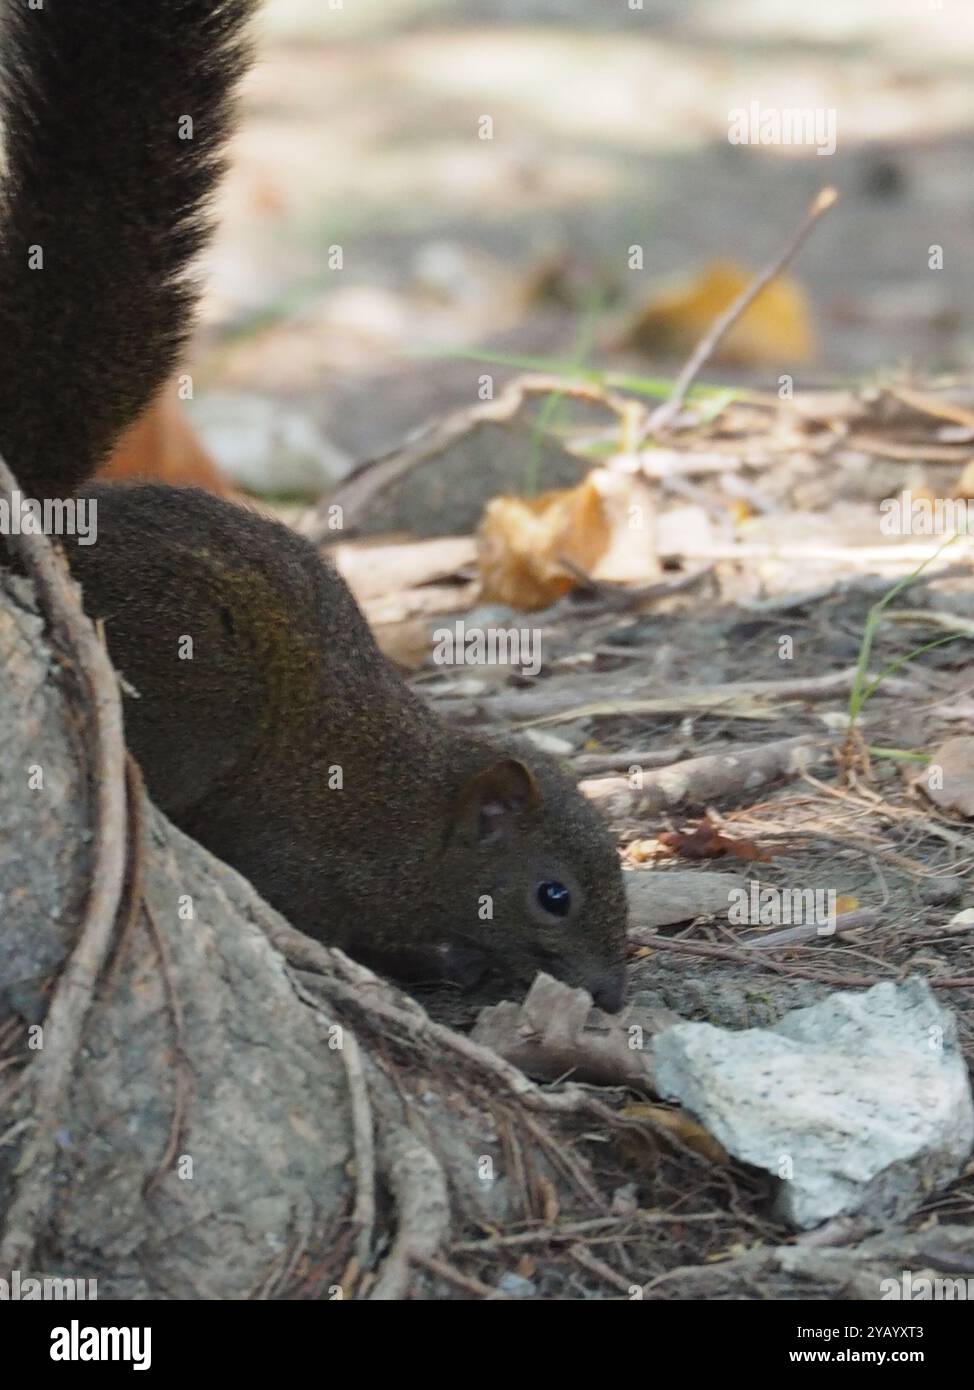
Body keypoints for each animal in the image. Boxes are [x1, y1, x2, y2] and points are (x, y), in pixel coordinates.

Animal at [0, 0, 629, 1011]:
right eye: (554, 895)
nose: (614, 995)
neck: (418, 817)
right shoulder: (308, 858)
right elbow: (312, 912)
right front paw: (442, 961)